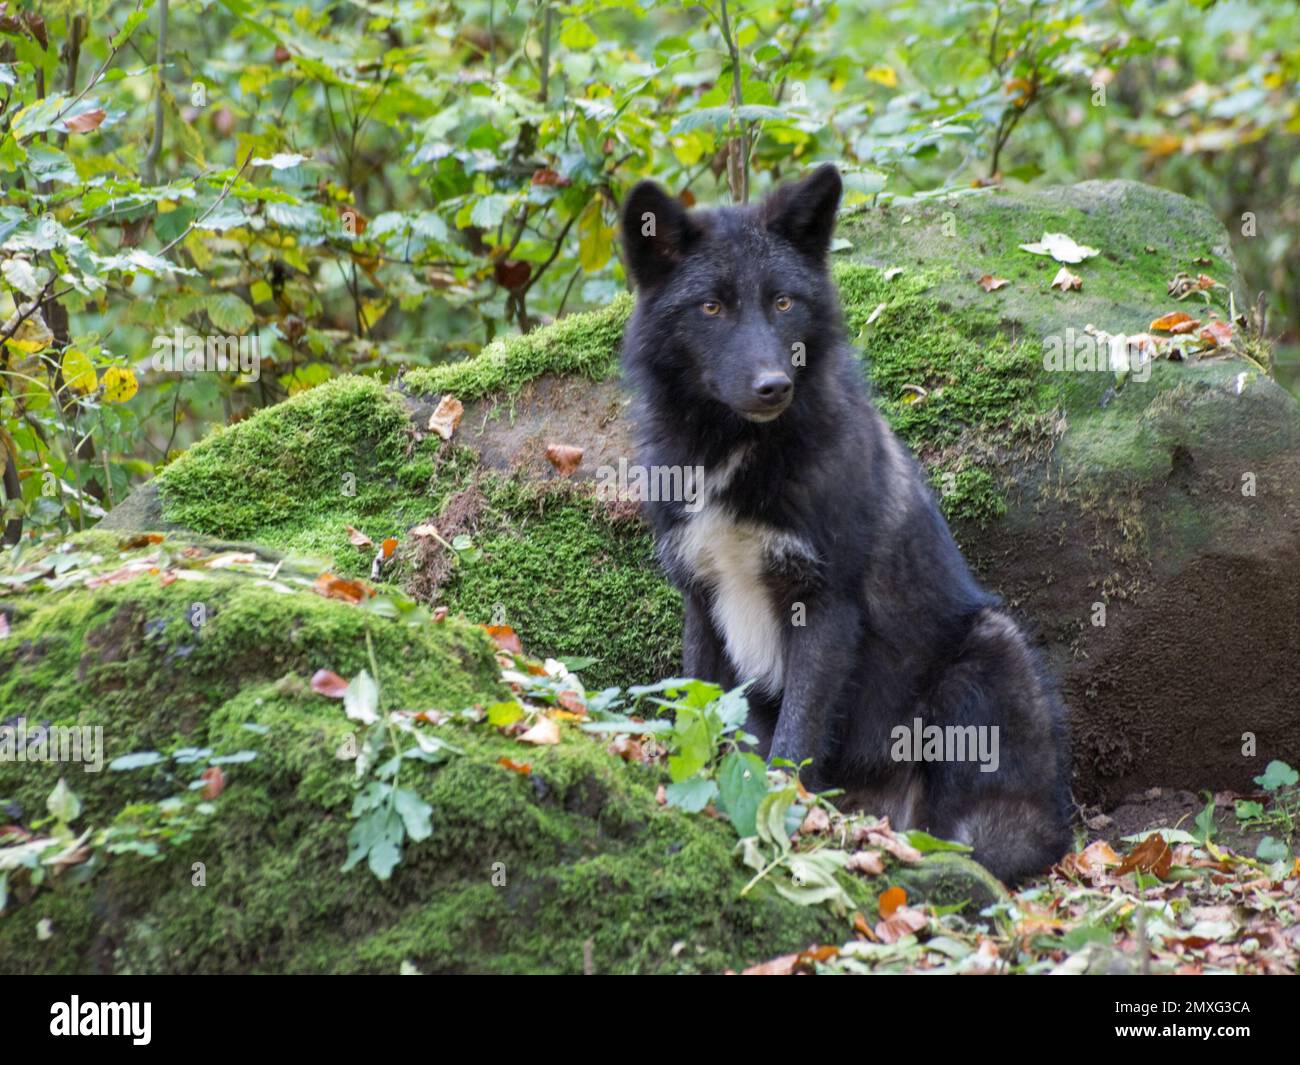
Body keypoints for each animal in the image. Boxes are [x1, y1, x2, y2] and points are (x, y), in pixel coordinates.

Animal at [619, 164, 1072, 884]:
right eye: (711, 308)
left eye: (782, 303)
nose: (773, 385)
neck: (734, 456)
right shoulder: (701, 596)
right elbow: (707, 709)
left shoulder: (825, 605)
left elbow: (795, 736)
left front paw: (776, 816)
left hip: (988, 651)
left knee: (995, 840)